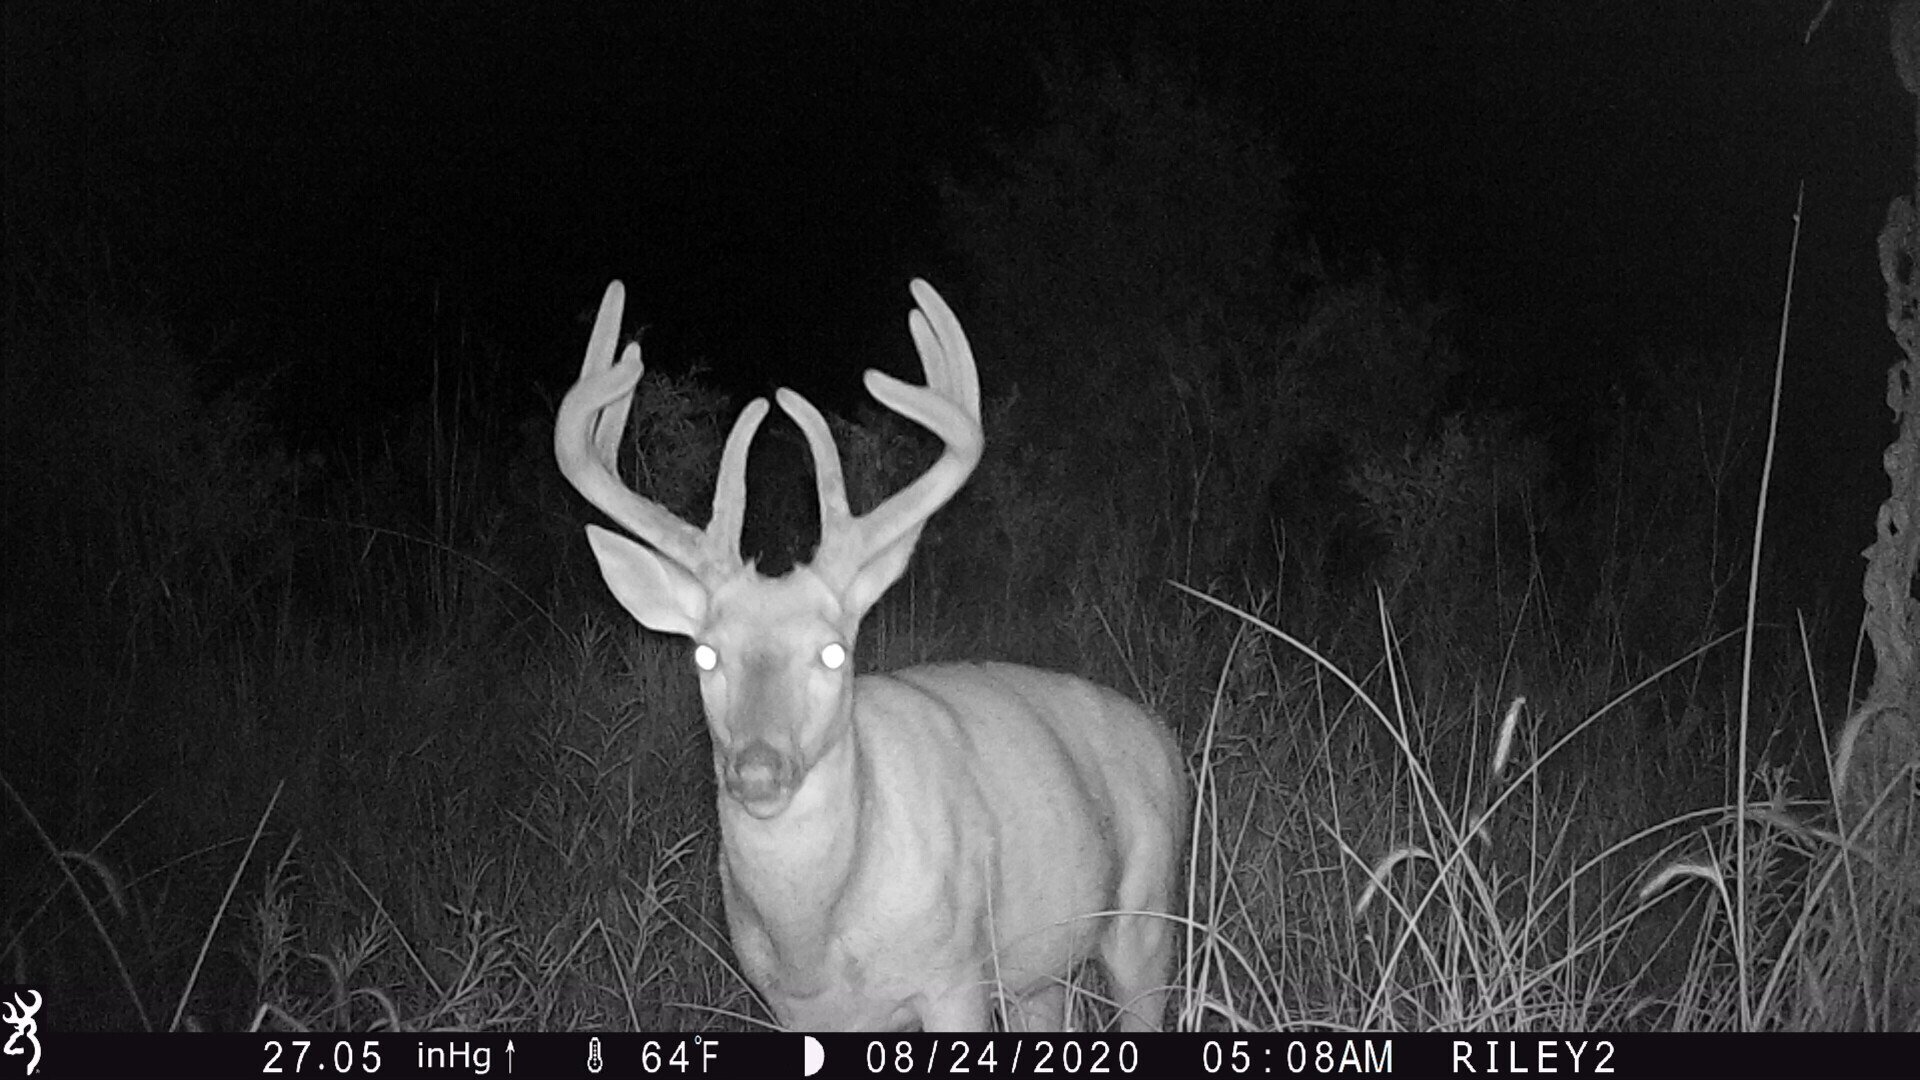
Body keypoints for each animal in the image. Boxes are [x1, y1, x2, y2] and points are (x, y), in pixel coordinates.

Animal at [554, 278, 1187, 1031]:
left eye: (833, 653)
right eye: (705, 657)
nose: (758, 770)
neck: (816, 943)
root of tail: (1162, 737)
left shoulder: (955, 977)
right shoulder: (789, 1008)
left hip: (1146, 919)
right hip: (1038, 967)